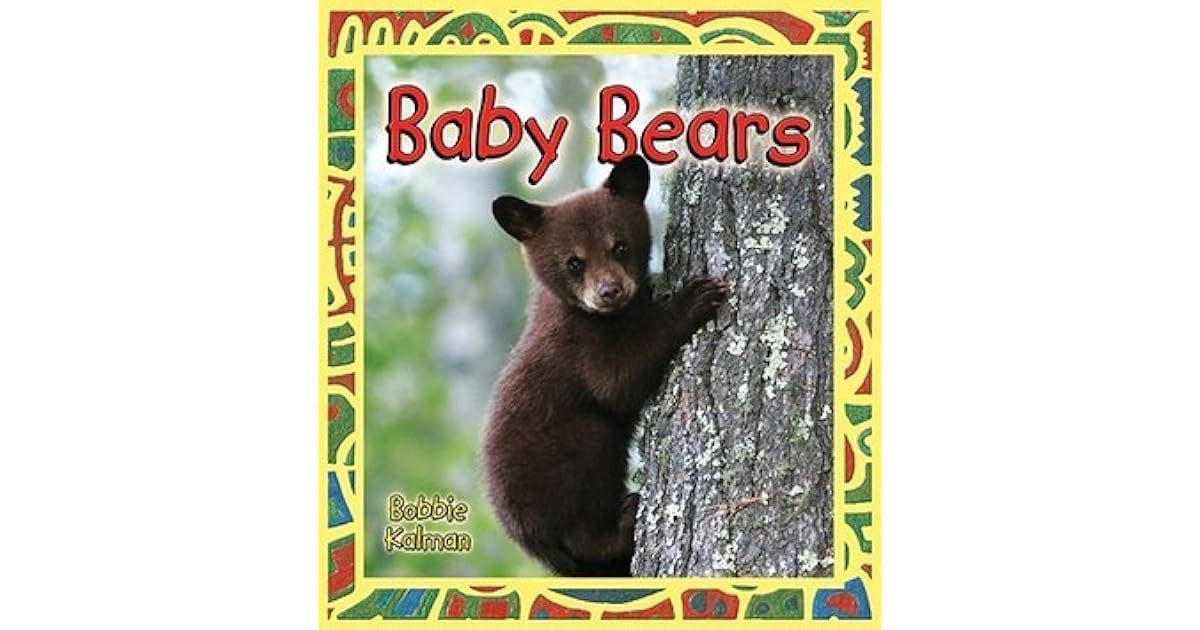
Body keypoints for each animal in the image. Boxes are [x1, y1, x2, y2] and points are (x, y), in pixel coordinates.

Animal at [481, 154, 729, 577]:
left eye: (620, 246)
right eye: (574, 262)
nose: (609, 291)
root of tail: (530, 540)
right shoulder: (578, 343)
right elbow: (617, 382)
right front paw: (693, 298)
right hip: (564, 461)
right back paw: (624, 520)